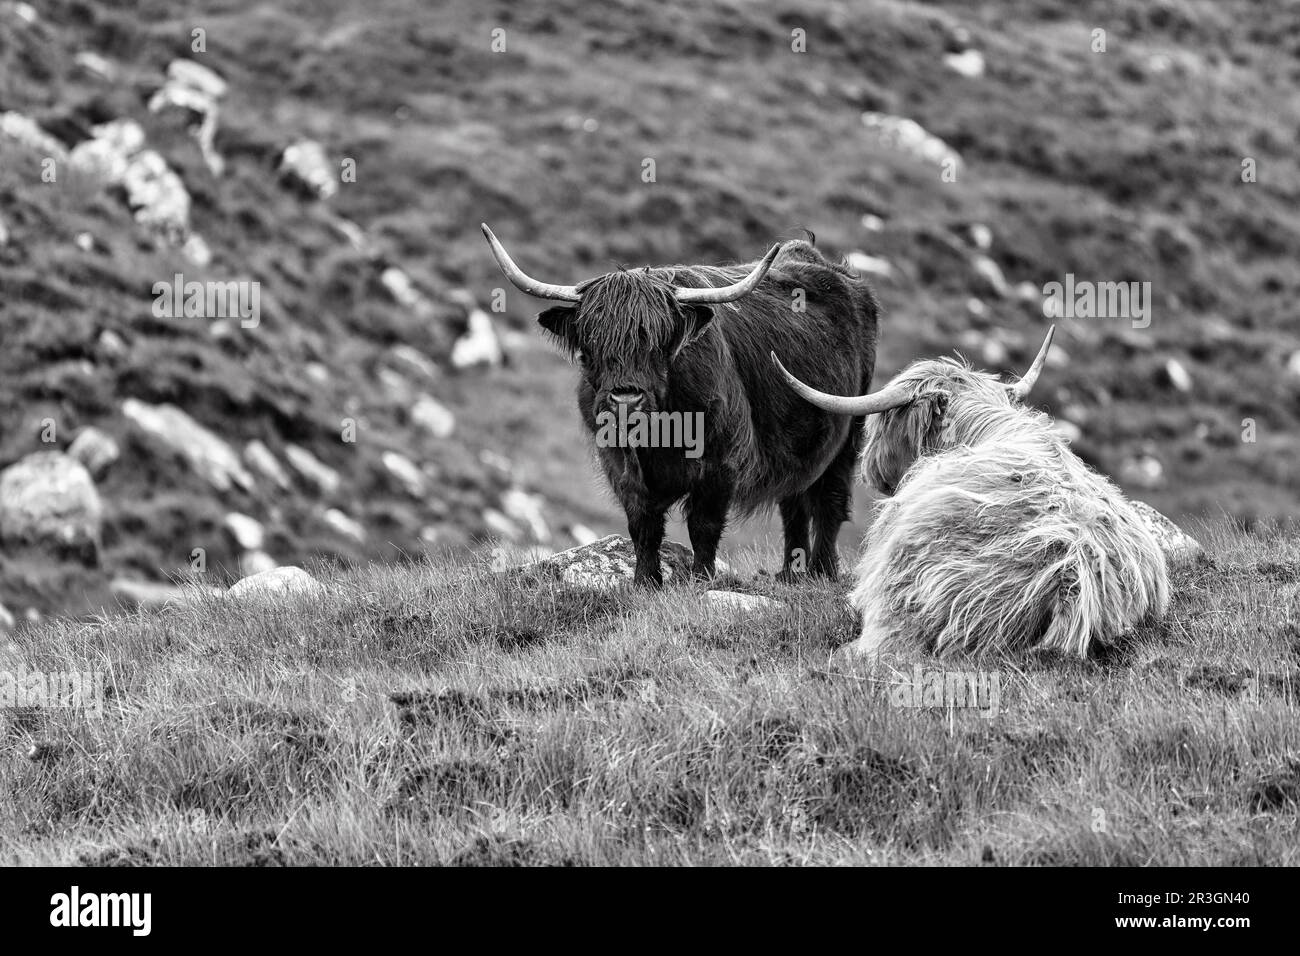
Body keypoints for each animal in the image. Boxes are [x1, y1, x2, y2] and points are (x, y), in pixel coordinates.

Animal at [482, 224, 880, 587]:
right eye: (591, 339)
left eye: (658, 338)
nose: (626, 398)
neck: (660, 431)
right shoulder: (620, 463)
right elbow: (642, 524)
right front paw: (646, 581)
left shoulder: (720, 463)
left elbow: (703, 524)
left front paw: (701, 578)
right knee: (794, 502)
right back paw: (789, 575)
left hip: (848, 428)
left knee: (829, 500)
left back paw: (821, 572)